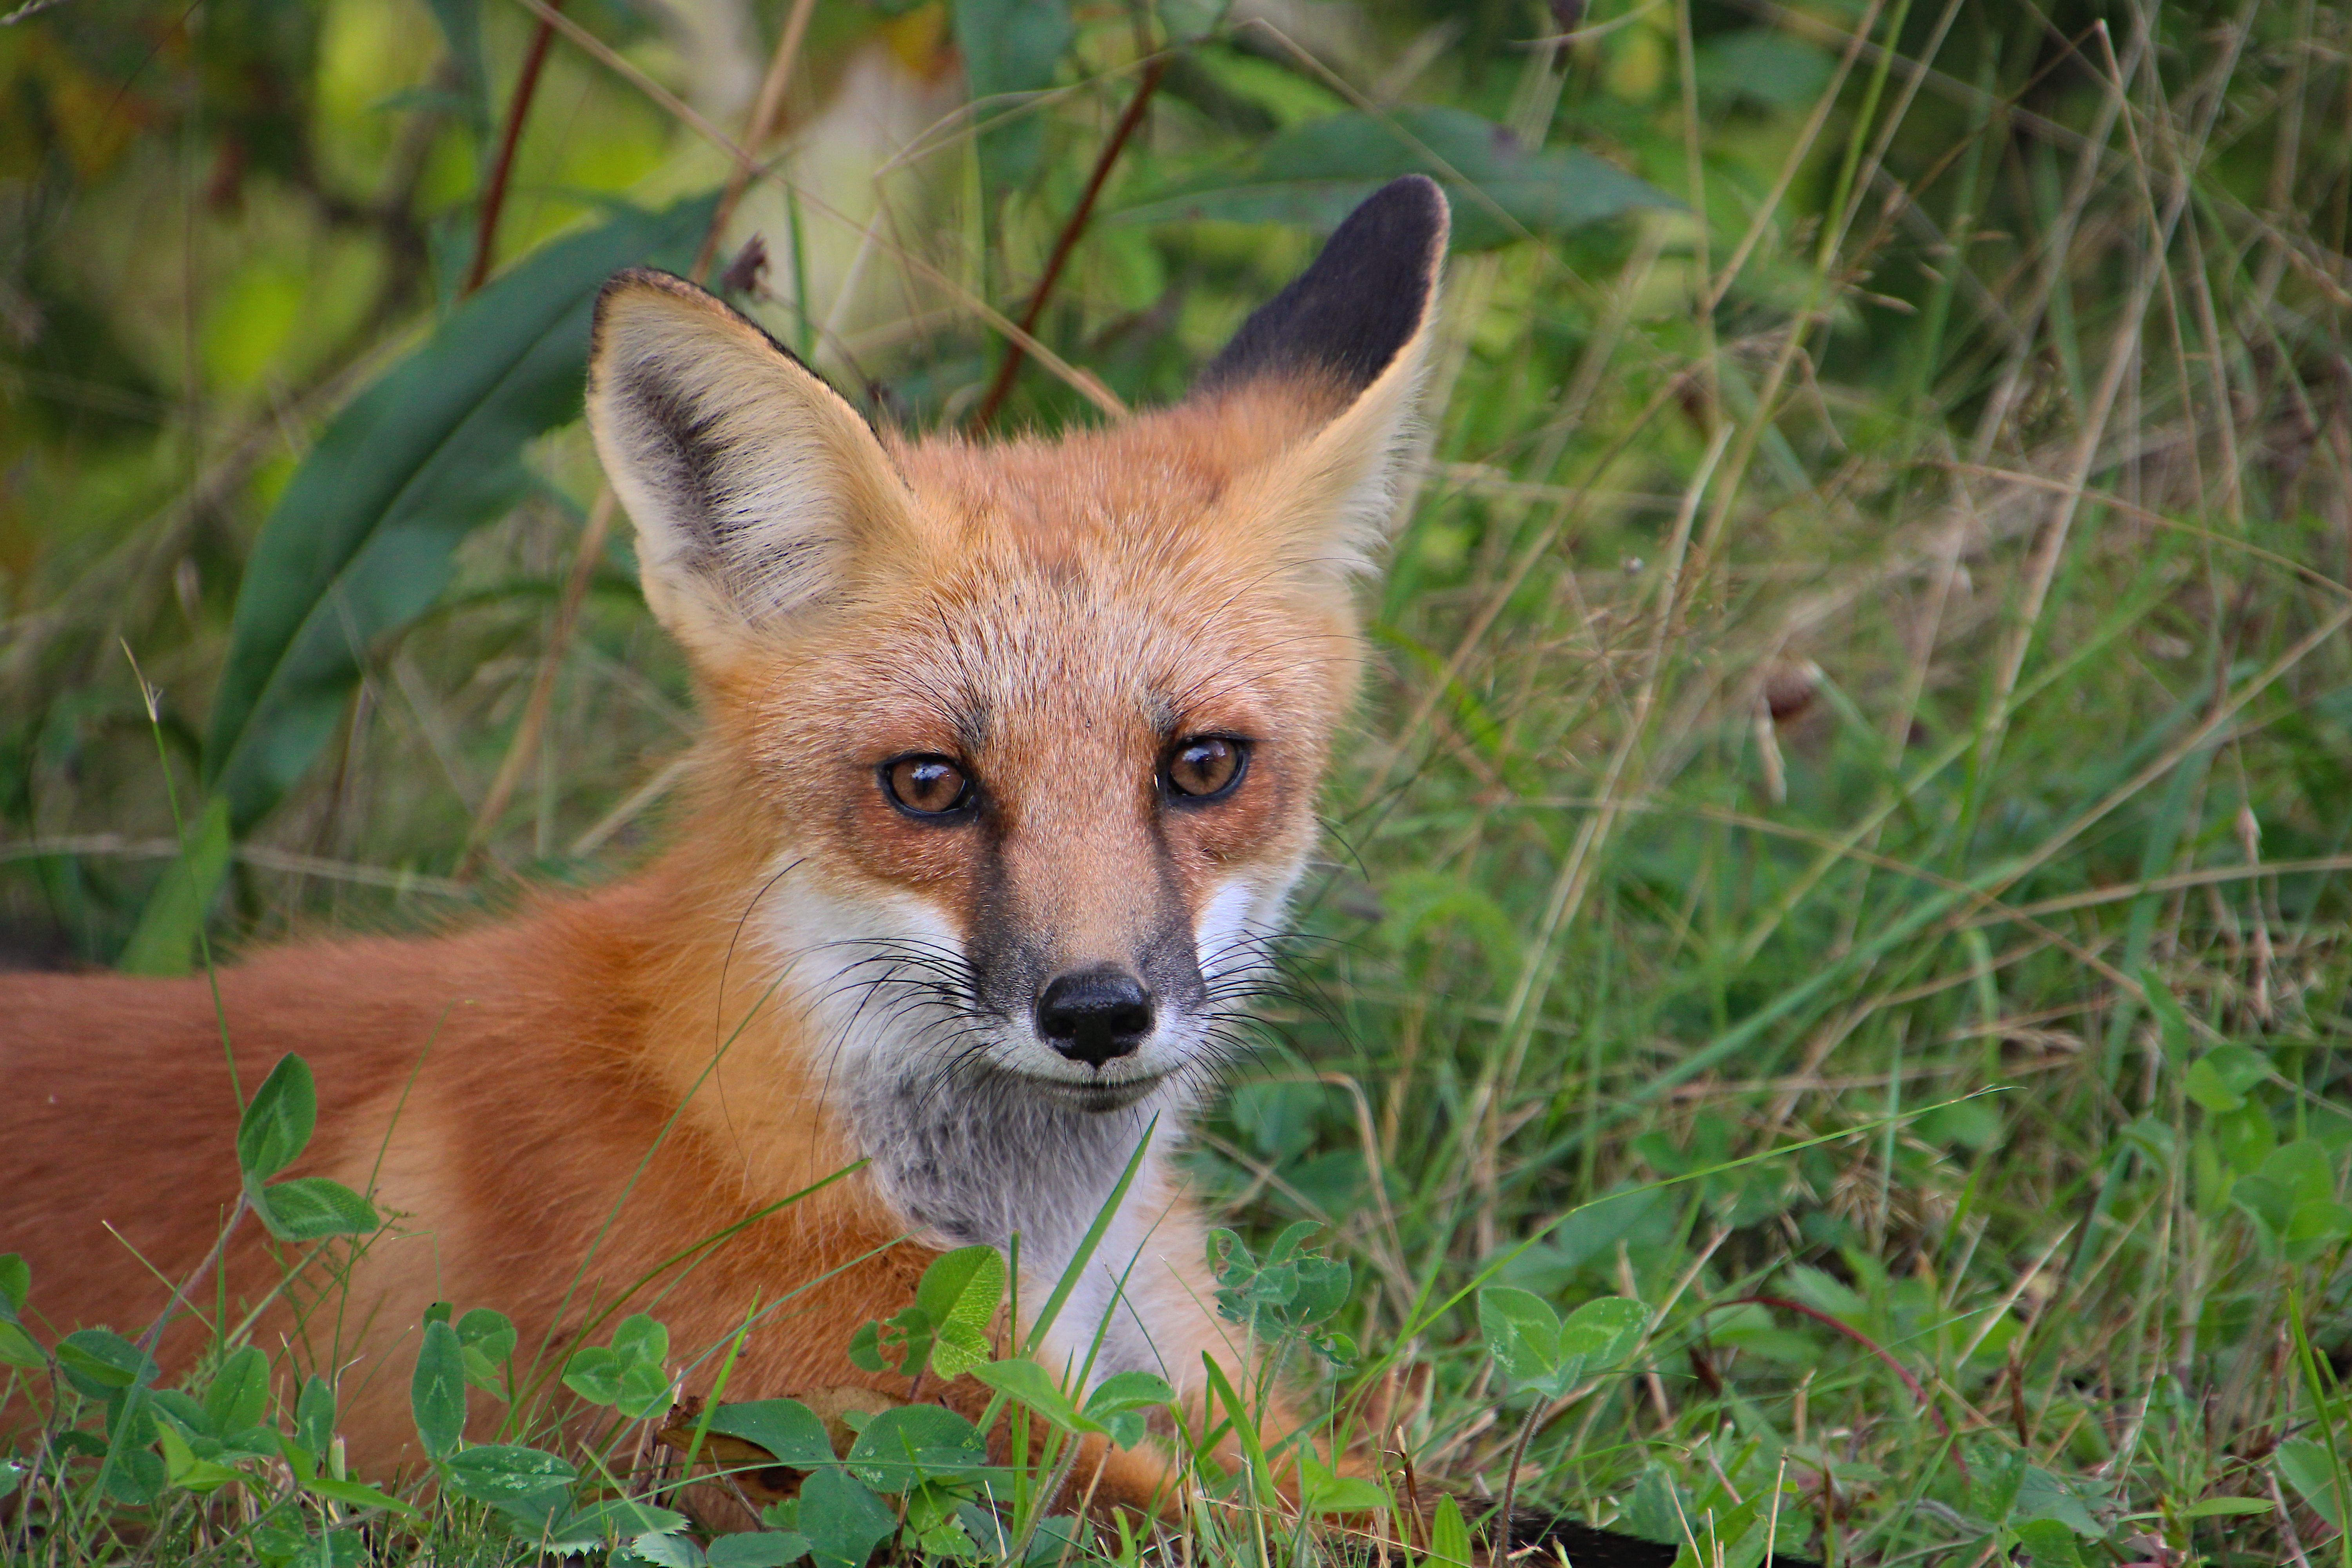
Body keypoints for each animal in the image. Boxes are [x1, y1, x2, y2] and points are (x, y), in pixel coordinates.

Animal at [4, 176, 1810, 1566]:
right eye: (931, 784)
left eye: (1202, 766)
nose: (1100, 1010)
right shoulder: (823, 1432)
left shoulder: (1215, 1401)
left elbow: (1481, 1505)